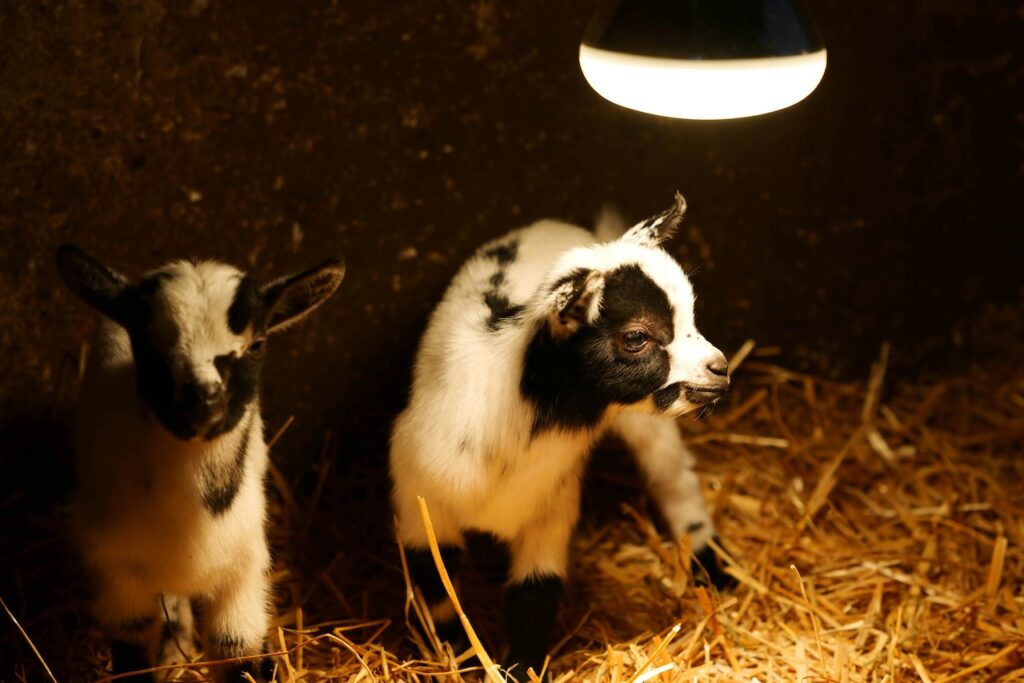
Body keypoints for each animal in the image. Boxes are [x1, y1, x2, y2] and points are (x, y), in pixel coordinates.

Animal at [57, 245, 345, 682]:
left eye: (257, 343)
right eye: (147, 343)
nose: (203, 400)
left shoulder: (242, 570)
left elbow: (238, 651)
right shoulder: (118, 574)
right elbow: (132, 652)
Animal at [390, 193, 731, 679]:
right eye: (637, 336)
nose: (720, 369)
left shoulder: (551, 505)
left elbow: (535, 594)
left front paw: (523, 668)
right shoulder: (420, 502)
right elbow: (436, 589)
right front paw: (456, 655)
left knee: (670, 471)